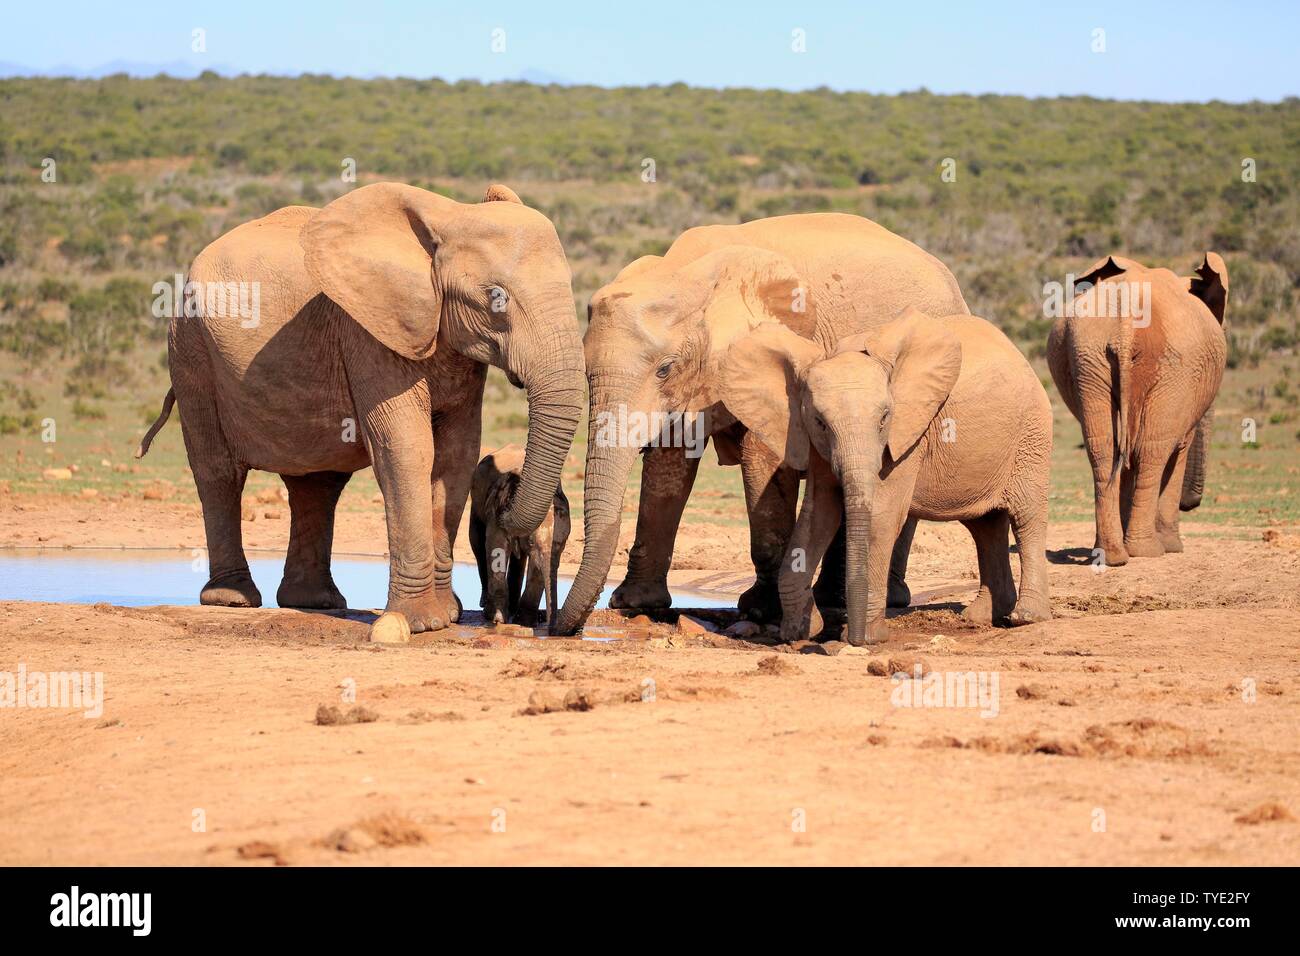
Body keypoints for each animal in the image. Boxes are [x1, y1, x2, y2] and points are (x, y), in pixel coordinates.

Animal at [469, 444, 570, 629]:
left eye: (563, 546)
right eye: (531, 541)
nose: (550, 627)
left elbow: (536, 567)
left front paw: (525, 623)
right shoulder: (497, 508)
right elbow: (496, 547)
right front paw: (497, 619)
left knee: (519, 559)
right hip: (476, 503)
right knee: (477, 543)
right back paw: (486, 606)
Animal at [552, 212, 970, 636]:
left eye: (664, 369)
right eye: (585, 373)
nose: (563, 626)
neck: (688, 274)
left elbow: (764, 460)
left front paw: (761, 610)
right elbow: (670, 463)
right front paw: (636, 604)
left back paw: (863, 600)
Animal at [719, 310, 1053, 646]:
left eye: (883, 418)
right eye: (820, 422)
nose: (847, 638)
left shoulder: (907, 437)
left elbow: (881, 516)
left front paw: (868, 638)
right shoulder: (814, 443)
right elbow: (818, 514)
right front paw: (799, 631)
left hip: (1032, 434)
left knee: (1026, 517)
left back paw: (1026, 617)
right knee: (984, 525)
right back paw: (981, 617)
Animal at [1047, 253, 1228, 565]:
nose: (1190, 504)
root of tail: (1126, 322)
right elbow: (1177, 447)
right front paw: (1172, 547)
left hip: (1087, 355)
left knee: (1104, 449)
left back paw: (1112, 555)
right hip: (1175, 367)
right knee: (1152, 449)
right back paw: (1149, 551)